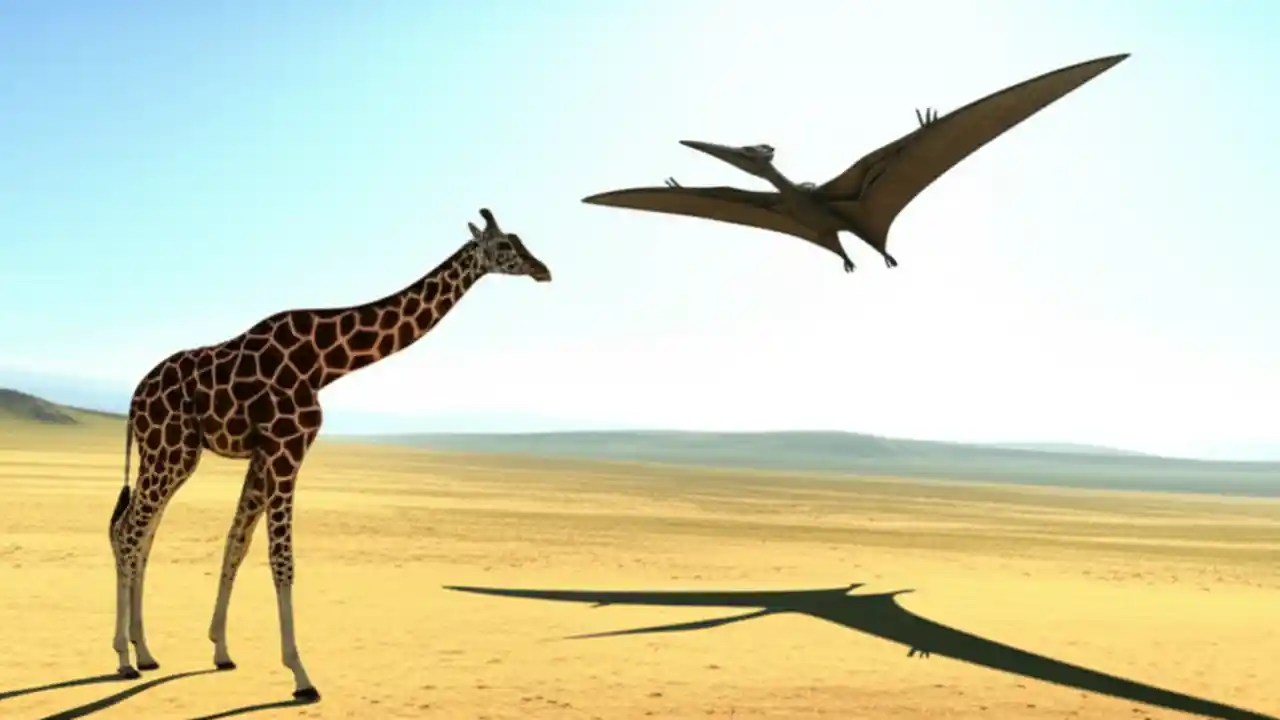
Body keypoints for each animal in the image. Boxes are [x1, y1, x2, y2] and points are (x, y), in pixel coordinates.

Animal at [107, 208, 551, 700]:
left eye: (520, 240)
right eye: (505, 247)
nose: (542, 270)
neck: (324, 362)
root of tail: (134, 398)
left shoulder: (265, 453)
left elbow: (236, 543)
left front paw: (221, 649)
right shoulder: (287, 446)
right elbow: (282, 558)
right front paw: (301, 675)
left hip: (170, 453)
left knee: (141, 535)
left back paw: (144, 652)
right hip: (169, 449)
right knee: (128, 532)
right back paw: (124, 659)